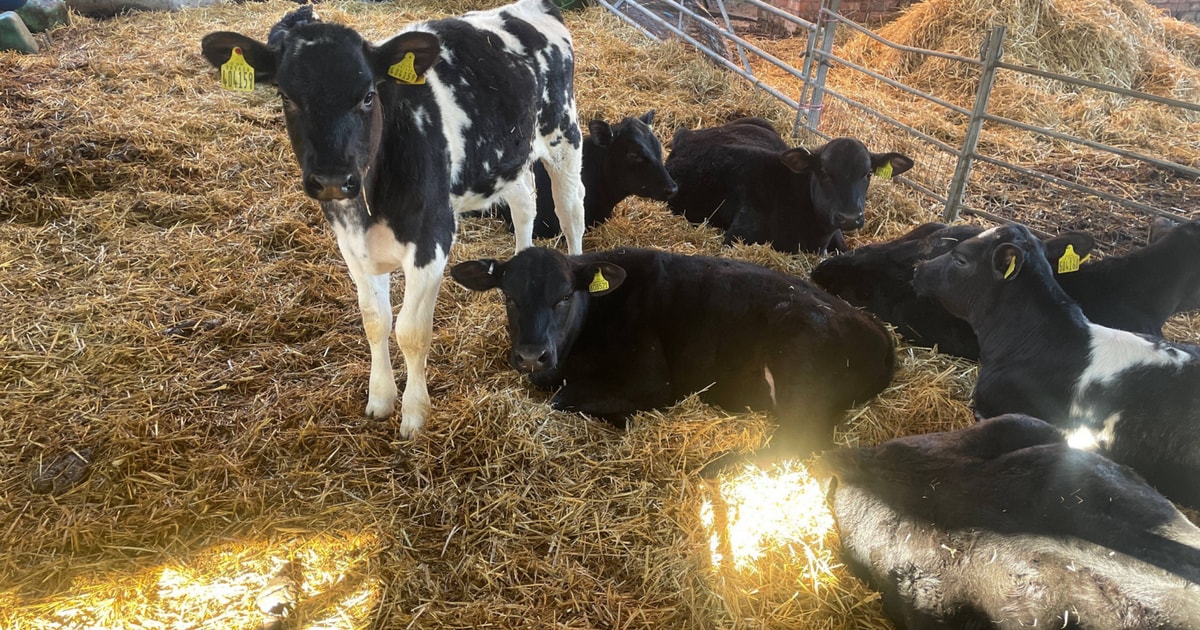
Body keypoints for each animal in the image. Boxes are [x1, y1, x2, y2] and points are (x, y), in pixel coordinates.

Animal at [200, 0, 586, 437]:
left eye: (368, 95)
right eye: (286, 96)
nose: (332, 179)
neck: (372, 203)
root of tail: (532, 7)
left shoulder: (432, 241)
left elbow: (411, 332)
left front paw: (414, 414)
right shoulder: (351, 244)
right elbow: (376, 321)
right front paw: (381, 398)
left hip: (563, 135)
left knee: (571, 210)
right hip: (510, 156)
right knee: (525, 203)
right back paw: (518, 263)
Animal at [449, 247, 896, 458]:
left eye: (563, 296)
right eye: (509, 297)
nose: (531, 355)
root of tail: (879, 332)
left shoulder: (651, 382)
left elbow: (562, 399)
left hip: (799, 375)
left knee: (796, 446)